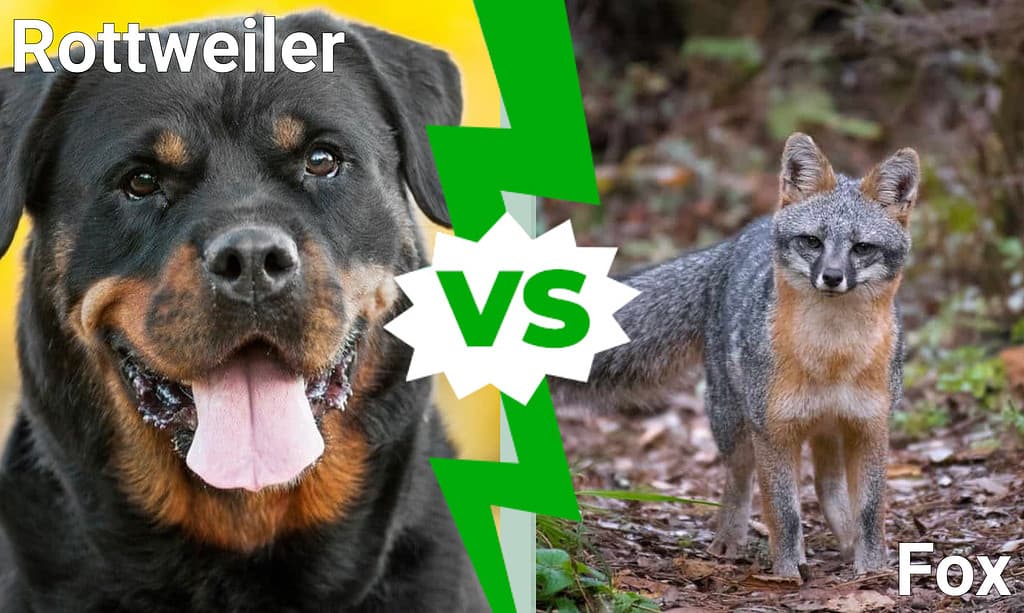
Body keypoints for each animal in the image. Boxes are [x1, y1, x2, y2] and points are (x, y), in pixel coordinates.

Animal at [554, 133, 920, 578]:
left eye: (862, 248)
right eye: (812, 242)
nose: (832, 277)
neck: (831, 358)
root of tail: (735, 241)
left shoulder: (870, 428)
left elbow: (869, 512)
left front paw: (872, 568)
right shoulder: (774, 431)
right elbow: (784, 513)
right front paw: (787, 574)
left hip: (828, 427)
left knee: (826, 484)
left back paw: (846, 542)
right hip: (733, 420)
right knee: (740, 479)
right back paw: (731, 540)